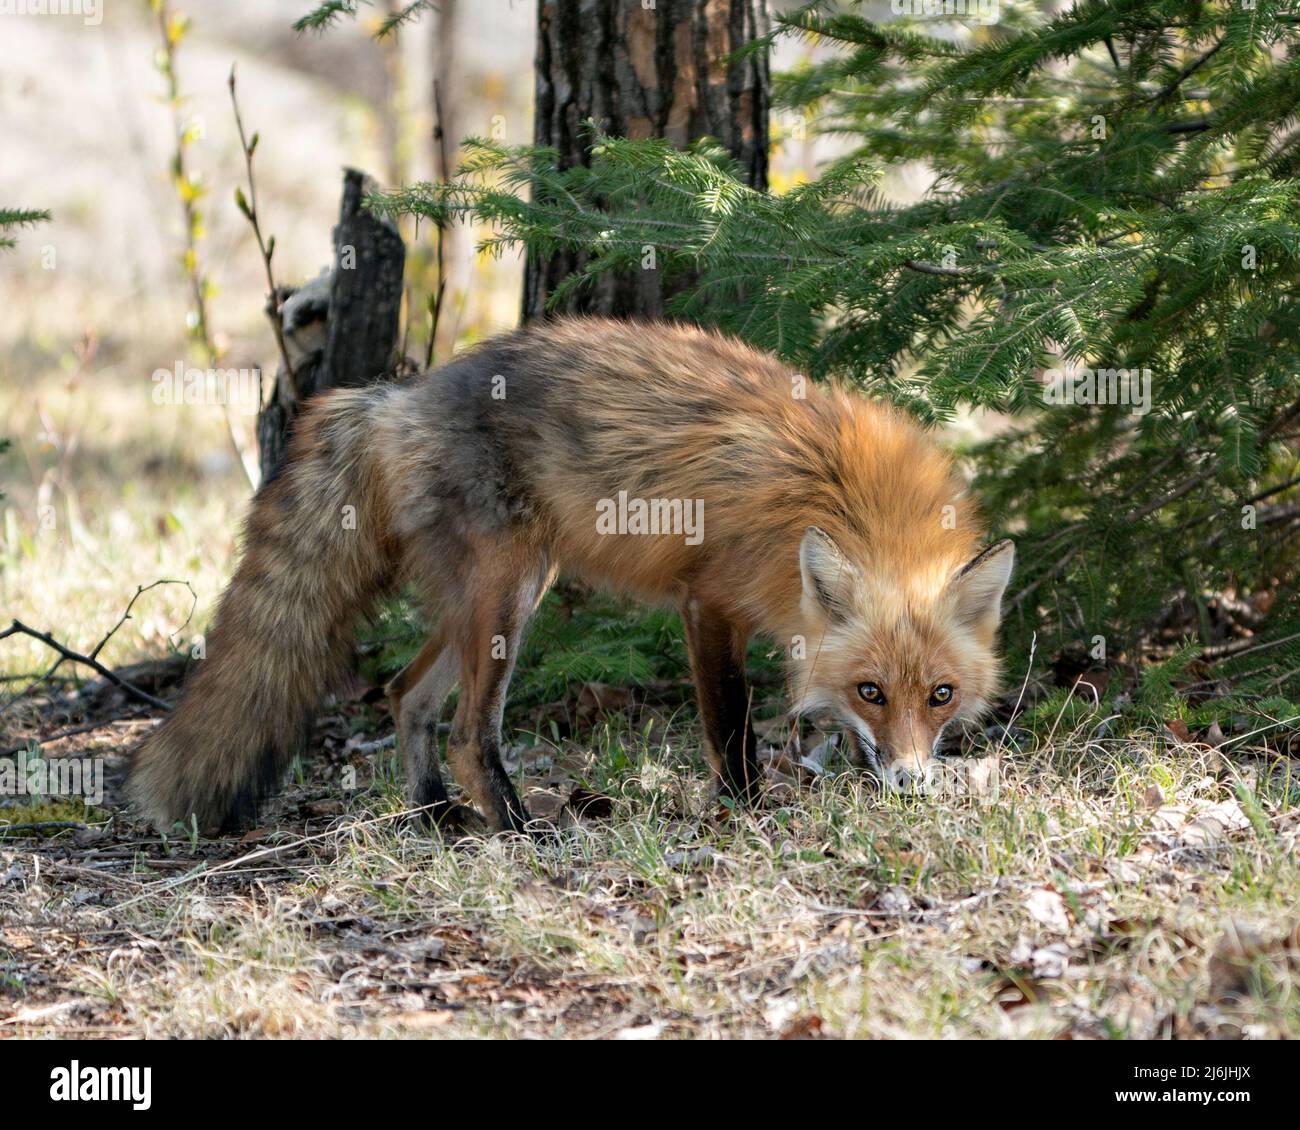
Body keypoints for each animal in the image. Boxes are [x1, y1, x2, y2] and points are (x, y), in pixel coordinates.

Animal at [128, 316, 1014, 835]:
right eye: (873, 690)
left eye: (940, 695)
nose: (911, 786)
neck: (848, 498)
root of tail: (396, 395)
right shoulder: (710, 600)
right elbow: (730, 730)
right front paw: (745, 813)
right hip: (511, 594)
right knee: (467, 730)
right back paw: (516, 826)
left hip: (493, 597)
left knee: (404, 693)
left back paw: (434, 814)